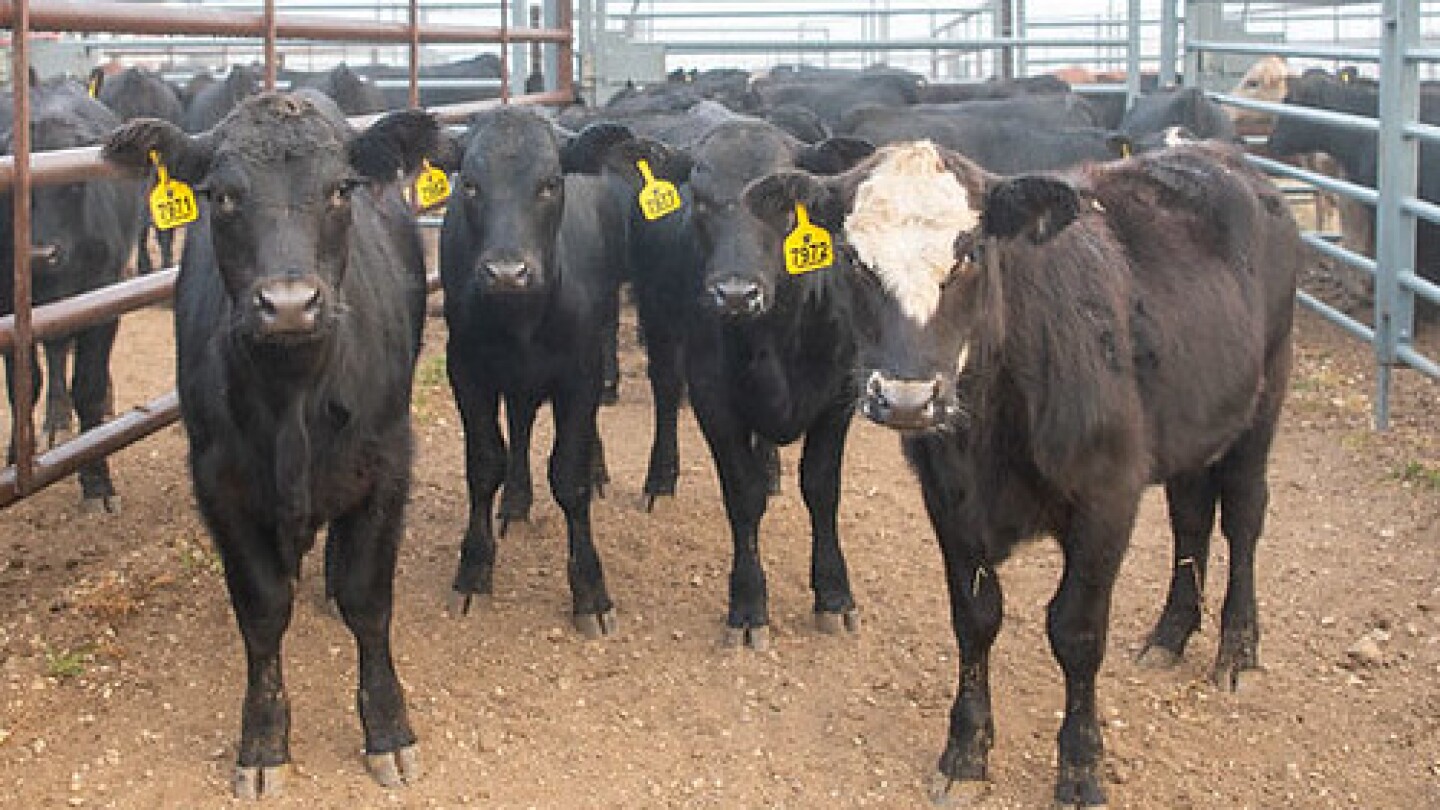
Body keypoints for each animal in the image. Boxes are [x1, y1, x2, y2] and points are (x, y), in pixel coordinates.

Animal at [0, 77, 144, 512]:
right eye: (13, 191)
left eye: (76, 184)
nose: (39, 253)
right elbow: (23, 386)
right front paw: (16, 458)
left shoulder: (103, 298)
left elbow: (89, 387)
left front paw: (97, 479)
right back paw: (57, 419)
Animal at [101, 91, 439, 796]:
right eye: (223, 195)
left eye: (340, 189)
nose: (287, 304)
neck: (293, 399)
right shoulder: (219, 483)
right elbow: (261, 612)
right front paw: (262, 742)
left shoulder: (389, 465)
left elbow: (369, 601)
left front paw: (389, 731)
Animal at [437, 107, 631, 638]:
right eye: (470, 185)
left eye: (549, 184)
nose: (507, 272)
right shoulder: (466, 368)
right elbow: (485, 463)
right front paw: (473, 570)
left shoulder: (580, 373)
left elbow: (569, 476)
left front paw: (591, 591)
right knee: (521, 424)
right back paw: (516, 500)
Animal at [605, 118, 874, 647]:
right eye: (700, 200)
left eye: (784, 204)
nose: (734, 293)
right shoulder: (713, 397)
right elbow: (742, 497)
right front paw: (748, 606)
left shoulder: (840, 395)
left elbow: (822, 488)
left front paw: (835, 596)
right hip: (659, 319)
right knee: (666, 392)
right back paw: (660, 479)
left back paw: (771, 470)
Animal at [742, 139, 1300, 805]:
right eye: (854, 257)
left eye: (969, 253)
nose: (906, 400)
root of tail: (1220, 156)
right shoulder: (949, 500)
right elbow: (975, 620)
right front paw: (965, 753)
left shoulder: (1108, 496)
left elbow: (1076, 632)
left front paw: (1081, 767)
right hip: (1192, 426)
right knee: (1191, 517)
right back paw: (1169, 634)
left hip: (1263, 401)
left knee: (1242, 518)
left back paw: (1237, 651)